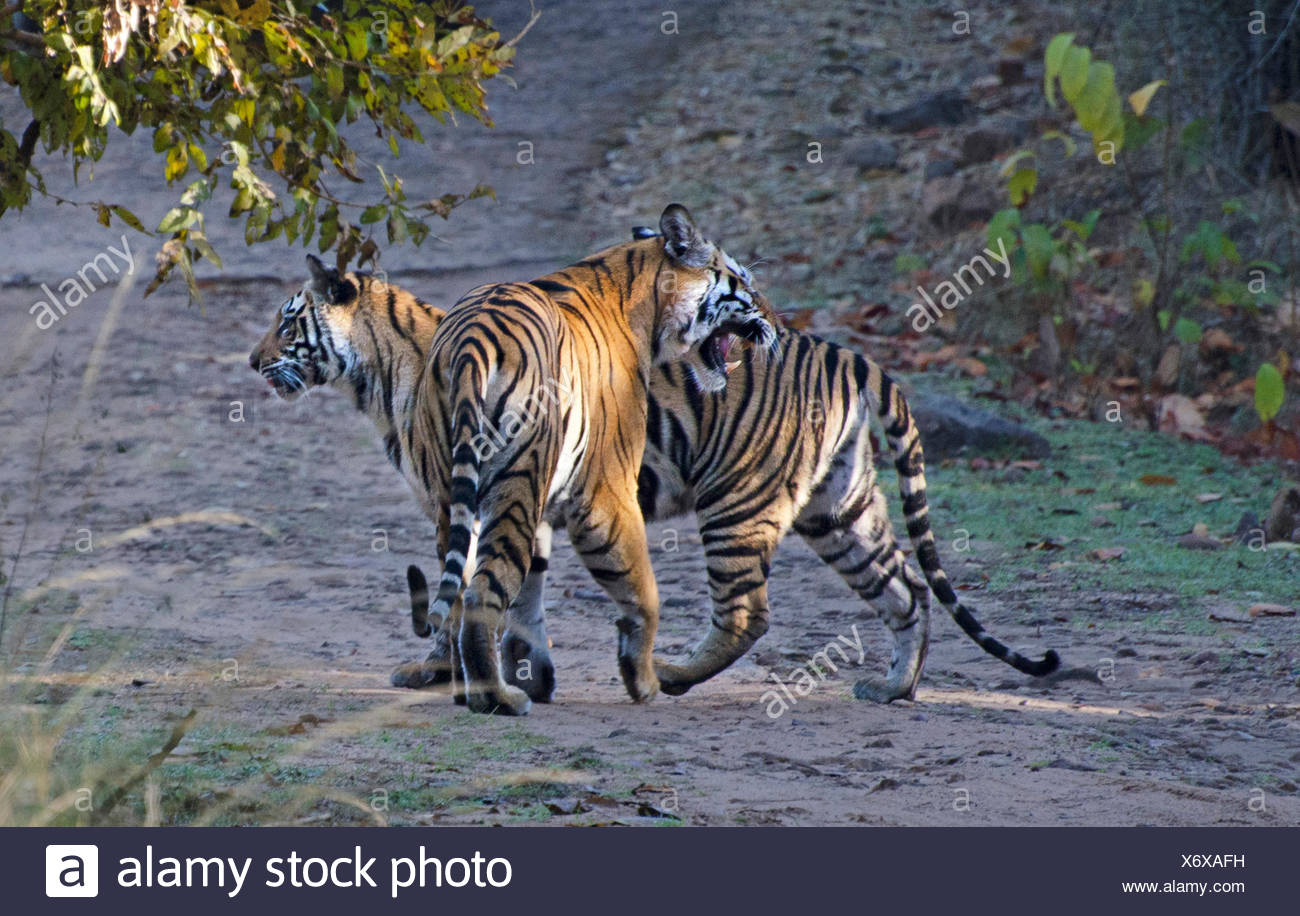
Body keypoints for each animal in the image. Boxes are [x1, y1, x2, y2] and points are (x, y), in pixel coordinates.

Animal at [248, 205, 777, 715]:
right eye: (745, 281)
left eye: (286, 324)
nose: (253, 361)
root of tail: (473, 340)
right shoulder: (591, 495)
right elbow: (625, 593)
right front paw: (613, 679)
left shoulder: (560, 500)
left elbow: (542, 596)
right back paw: (501, 696)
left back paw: (497, 693)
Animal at [392, 225, 1060, 705]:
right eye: (741, 279)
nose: (773, 318)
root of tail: (845, 354)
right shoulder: (584, 496)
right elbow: (580, 593)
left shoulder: (595, 497)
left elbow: (628, 593)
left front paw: (631, 677)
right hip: (830, 509)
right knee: (897, 587)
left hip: (748, 502)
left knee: (758, 612)